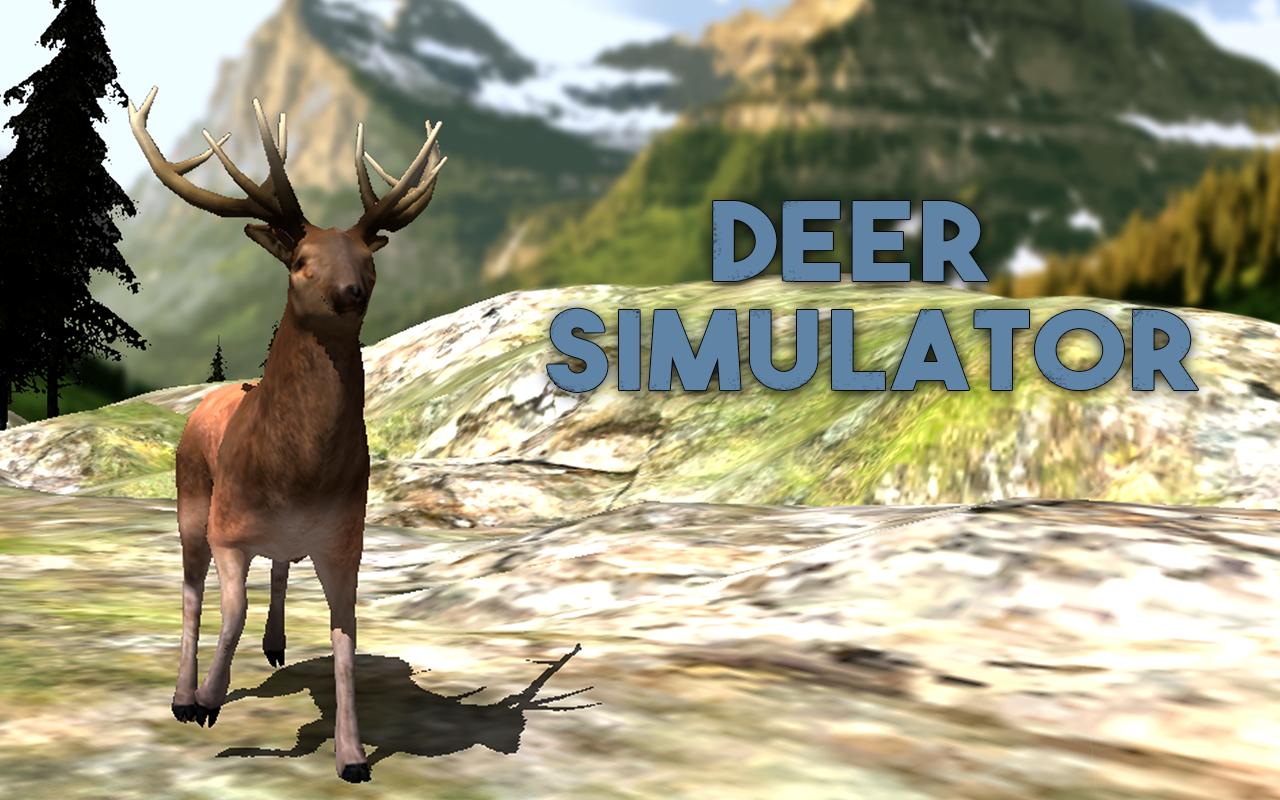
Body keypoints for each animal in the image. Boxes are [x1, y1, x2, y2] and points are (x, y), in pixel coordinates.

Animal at [128, 86, 446, 784]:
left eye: (367, 261)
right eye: (300, 262)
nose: (351, 291)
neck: (299, 475)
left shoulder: (345, 540)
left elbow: (345, 637)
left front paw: (353, 756)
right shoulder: (227, 529)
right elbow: (229, 614)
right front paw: (207, 701)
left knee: (276, 570)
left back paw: (275, 648)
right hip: (191, 502)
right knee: (190, 592)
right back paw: (182, 692)